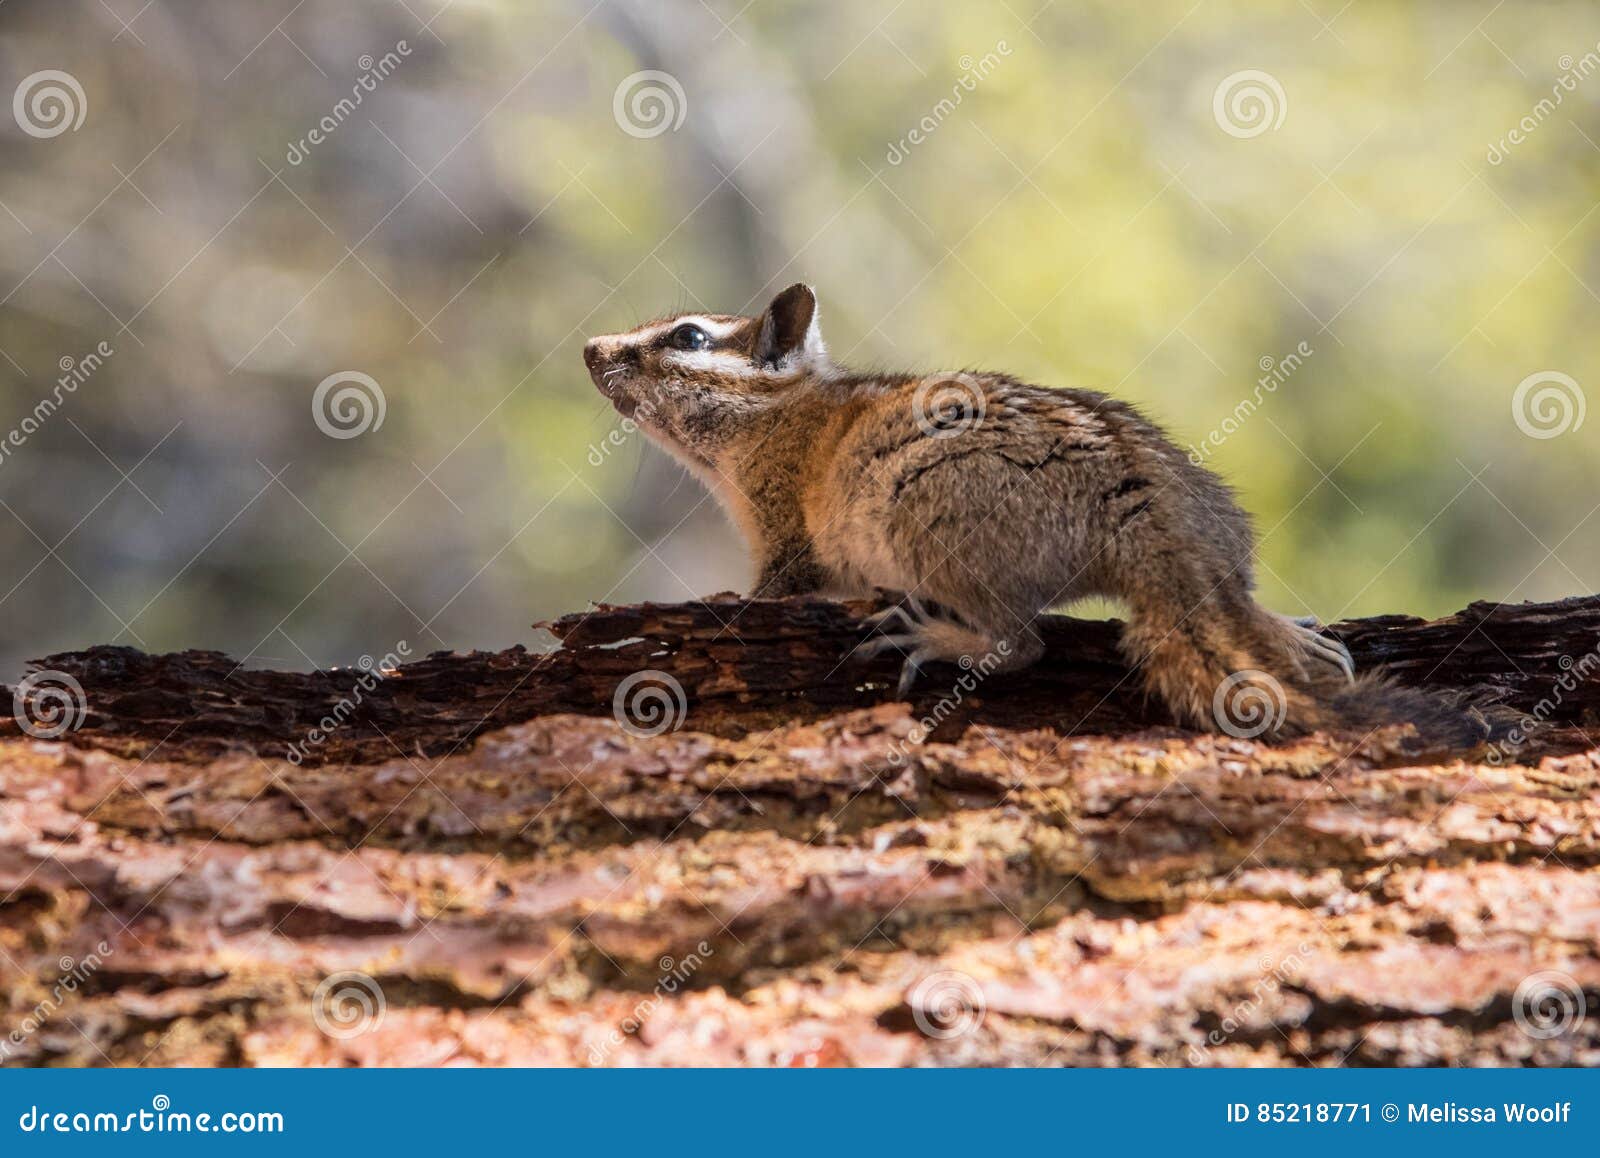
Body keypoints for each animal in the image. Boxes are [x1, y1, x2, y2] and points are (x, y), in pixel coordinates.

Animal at [583, 283, 1477, 740]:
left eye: (690, 337)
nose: (590, 348)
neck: (779, 417)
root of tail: (1161, 528)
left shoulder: (784, 534)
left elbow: (774, 590)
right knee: (1241, 606)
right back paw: (1295, 636)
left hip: (931, 525)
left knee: (1023, 644)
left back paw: (937, 638)